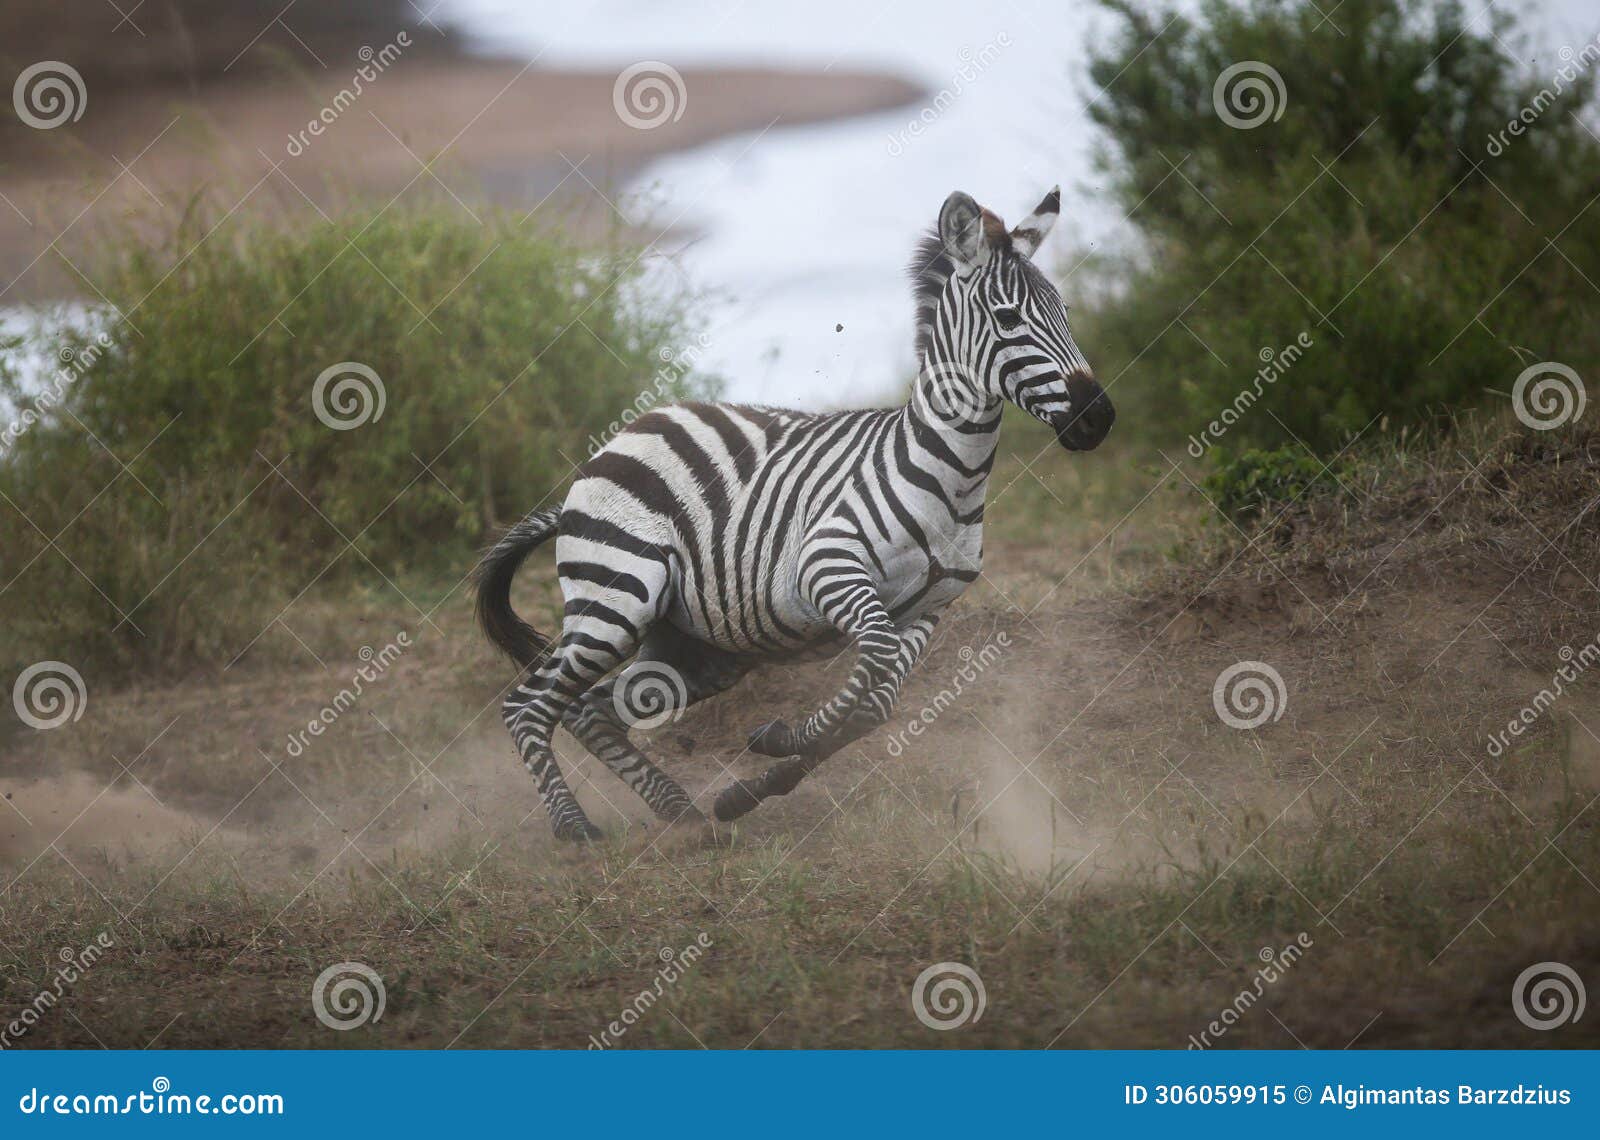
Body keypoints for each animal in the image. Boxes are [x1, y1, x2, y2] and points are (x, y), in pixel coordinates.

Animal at [475, 186, 1114, 841]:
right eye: (1009, 319)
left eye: (1065, 311)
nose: (1097, 418)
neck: (951, 480)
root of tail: (614, 445)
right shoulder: (826, 568)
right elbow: (873, 667)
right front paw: (779, 740)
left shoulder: (927, 612)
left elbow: (875, 705)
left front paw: (757, 781)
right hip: (618, 597)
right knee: (530, 704)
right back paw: (575, 828)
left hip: (694, 649)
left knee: (596, 709)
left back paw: (683, 814)